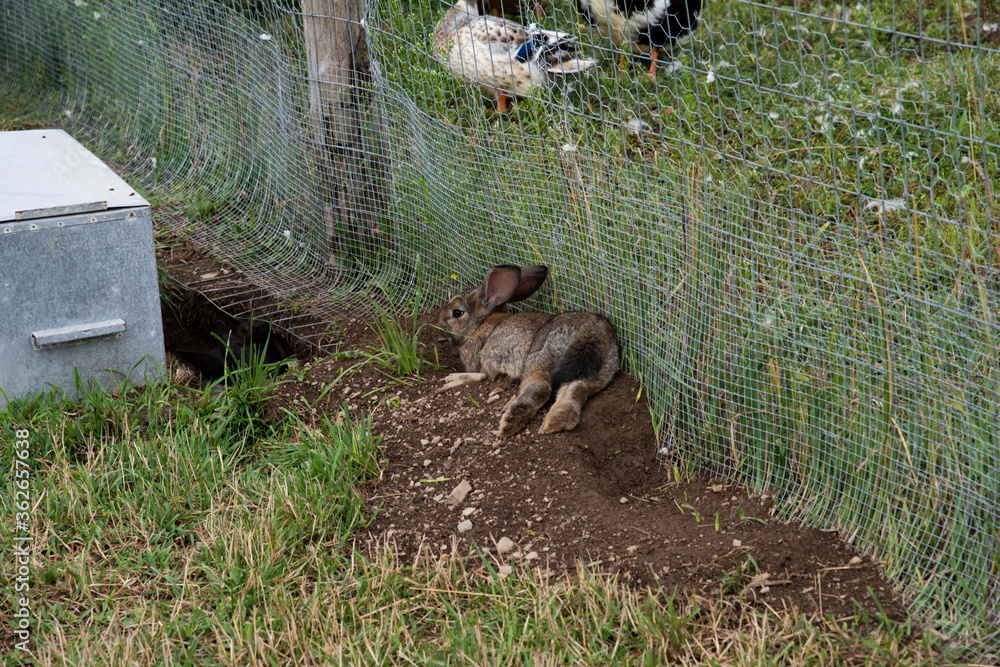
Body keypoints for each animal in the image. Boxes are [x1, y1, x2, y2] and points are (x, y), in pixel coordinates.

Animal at [438, 265, 619, 438]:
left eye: (457, 312)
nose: (440, 326)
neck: (478, 326)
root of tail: (593, 332)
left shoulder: (485, 364)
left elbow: (481, 375)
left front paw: (450, 379)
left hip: (541, 357)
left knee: (541, 387)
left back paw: (510, 420)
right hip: (599, 373)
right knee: (578, 388)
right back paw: (556, 421)